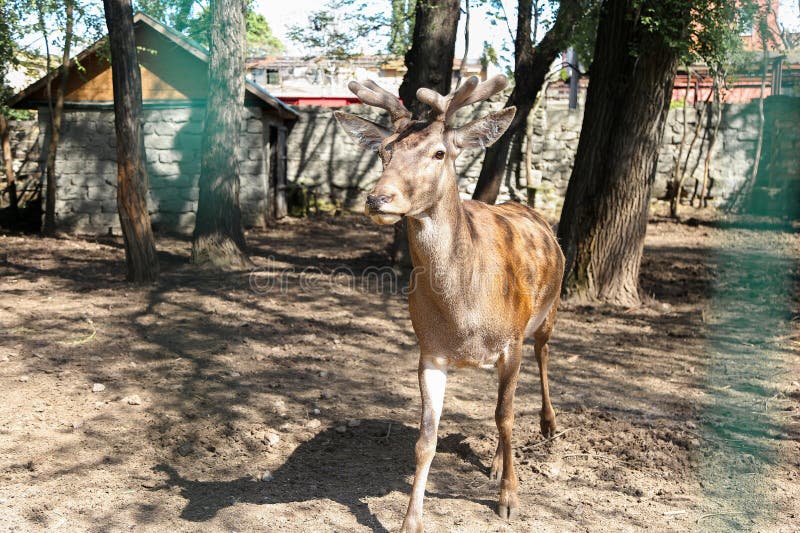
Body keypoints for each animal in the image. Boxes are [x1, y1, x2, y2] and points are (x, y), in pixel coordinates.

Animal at [334, 75, 565, 532]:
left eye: (439, 152)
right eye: (384, 151)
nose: (378, 199)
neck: (465, 314)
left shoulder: (511, 342)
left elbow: (506, 417)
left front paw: (509, 500)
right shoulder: (430, 352)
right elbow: (426, 439)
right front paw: (410, 521)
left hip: (549, 309)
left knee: (543, 355)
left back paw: (547, 427)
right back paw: (495, 463)